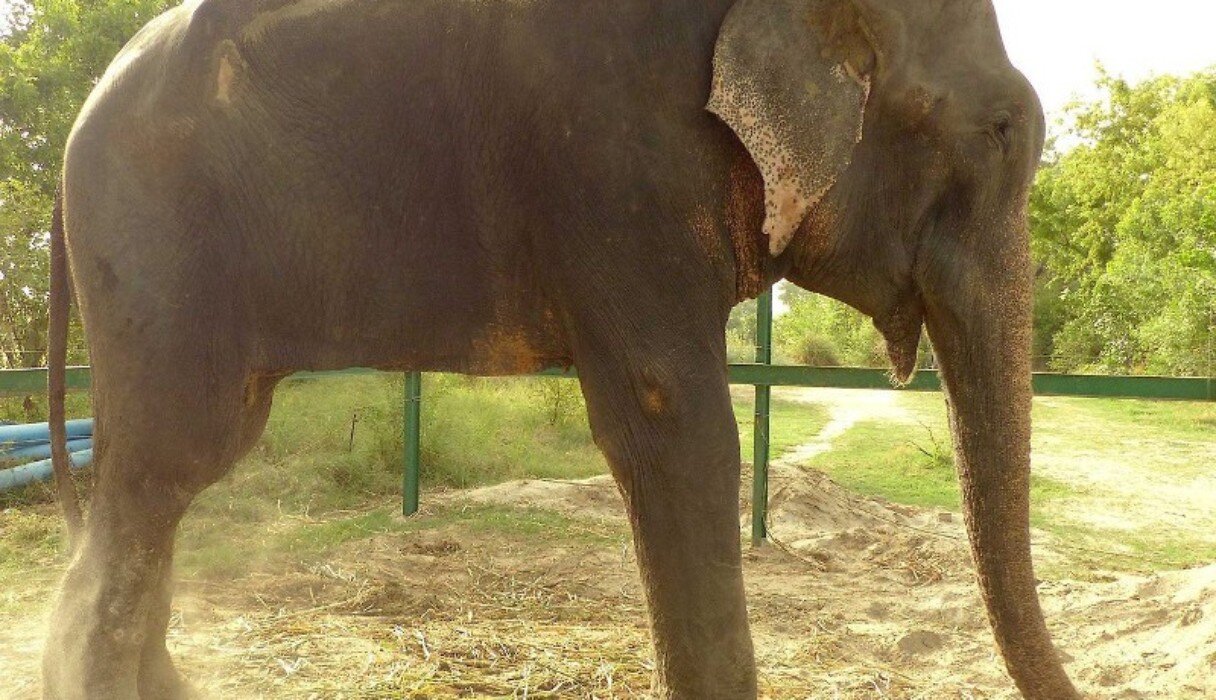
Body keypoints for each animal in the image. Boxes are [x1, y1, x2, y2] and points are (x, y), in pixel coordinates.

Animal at [42, 0, 1077, 697]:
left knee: (173, 477)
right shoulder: (614, 156)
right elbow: (676, 427)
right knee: (166, 465)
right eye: (1001, 131)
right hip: (157, 242)